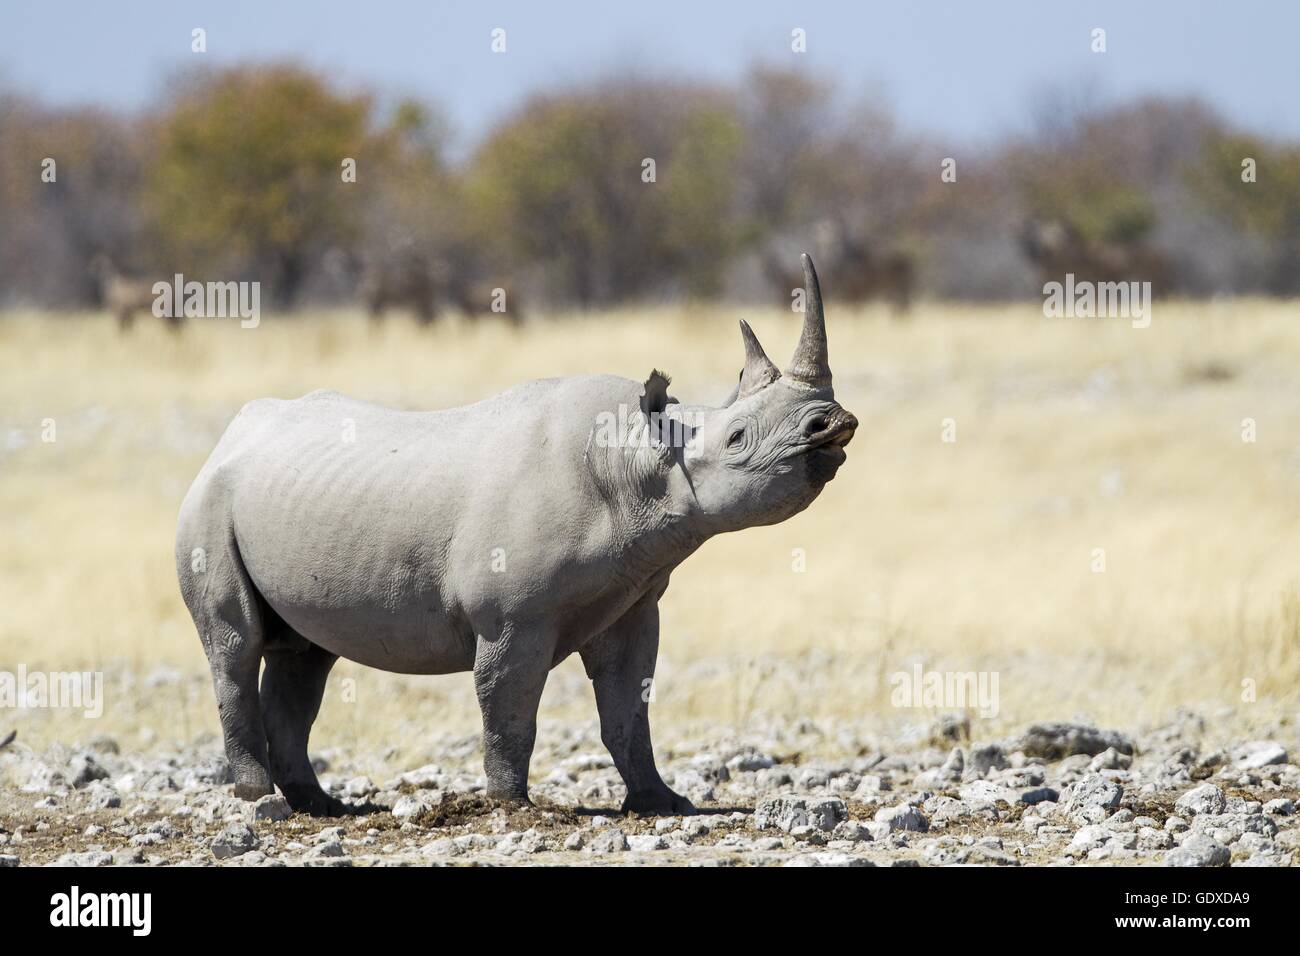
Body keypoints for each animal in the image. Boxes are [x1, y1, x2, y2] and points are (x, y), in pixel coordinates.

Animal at [176, 254, 857, 816]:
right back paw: (261, 801)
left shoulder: (633, 601)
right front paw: (513, 804)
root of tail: (226, 439)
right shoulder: (511, 616)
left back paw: (321, 806)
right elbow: (510, 705)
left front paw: (663, 803)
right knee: (236, 647)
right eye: (739, 440)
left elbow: (628, 709)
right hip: (208, 503)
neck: (644, 461)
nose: (835, 423)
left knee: (304, 656)